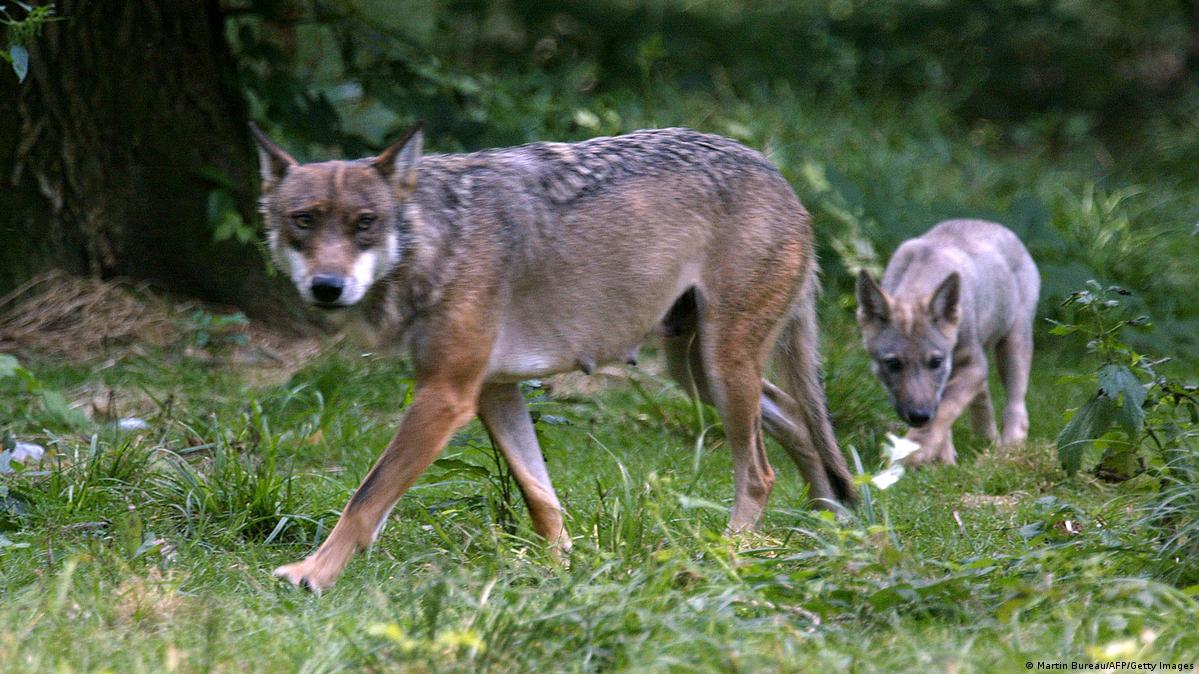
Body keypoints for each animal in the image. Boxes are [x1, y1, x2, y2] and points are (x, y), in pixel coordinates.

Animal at [250, 122, 855, 592]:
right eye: (304, 220)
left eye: (364, 223)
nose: (327, 287)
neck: (439, 236)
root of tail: (780, 177)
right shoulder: (493, 391)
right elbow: (541, 498)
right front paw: (563, 572)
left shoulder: (444, 398)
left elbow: (365, 498)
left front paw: (312, 574)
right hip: (699, 373)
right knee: (799, 424)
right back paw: (828, 532)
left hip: (722, 370)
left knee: (760, 473)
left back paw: (728, 556)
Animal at [856, 219, 1040, 465]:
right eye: (893, 364)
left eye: (935, 362)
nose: (919, 415)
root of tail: (994, 225)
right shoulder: (958, 374)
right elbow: (944, 417)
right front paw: (943, 462)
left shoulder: (972, 365)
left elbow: (945, 409)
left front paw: (918, 449)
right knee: (983, 397)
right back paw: (986, 439)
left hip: (1013, 344)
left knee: (1016, 406)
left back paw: (1010, 450)